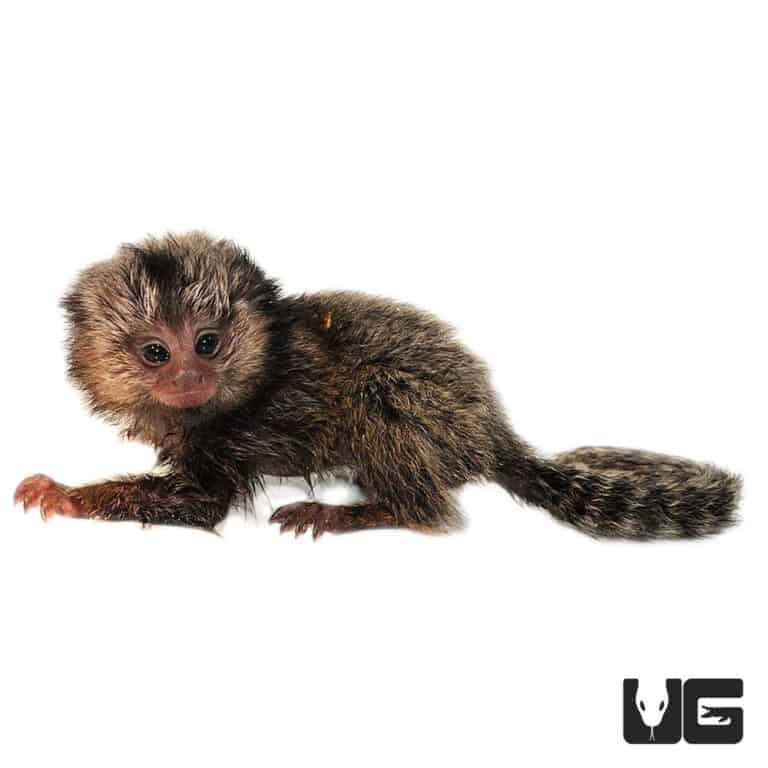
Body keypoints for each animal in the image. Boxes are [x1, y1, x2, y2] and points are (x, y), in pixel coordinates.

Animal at [14, 231, 741, 539]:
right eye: (155, 352)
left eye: (208, 344)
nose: (190, 377)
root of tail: (491, 433)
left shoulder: (230, 444)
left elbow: (202, 507)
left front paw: (66, 495)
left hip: (408, 409)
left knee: (407, 457)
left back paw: (360, 512)